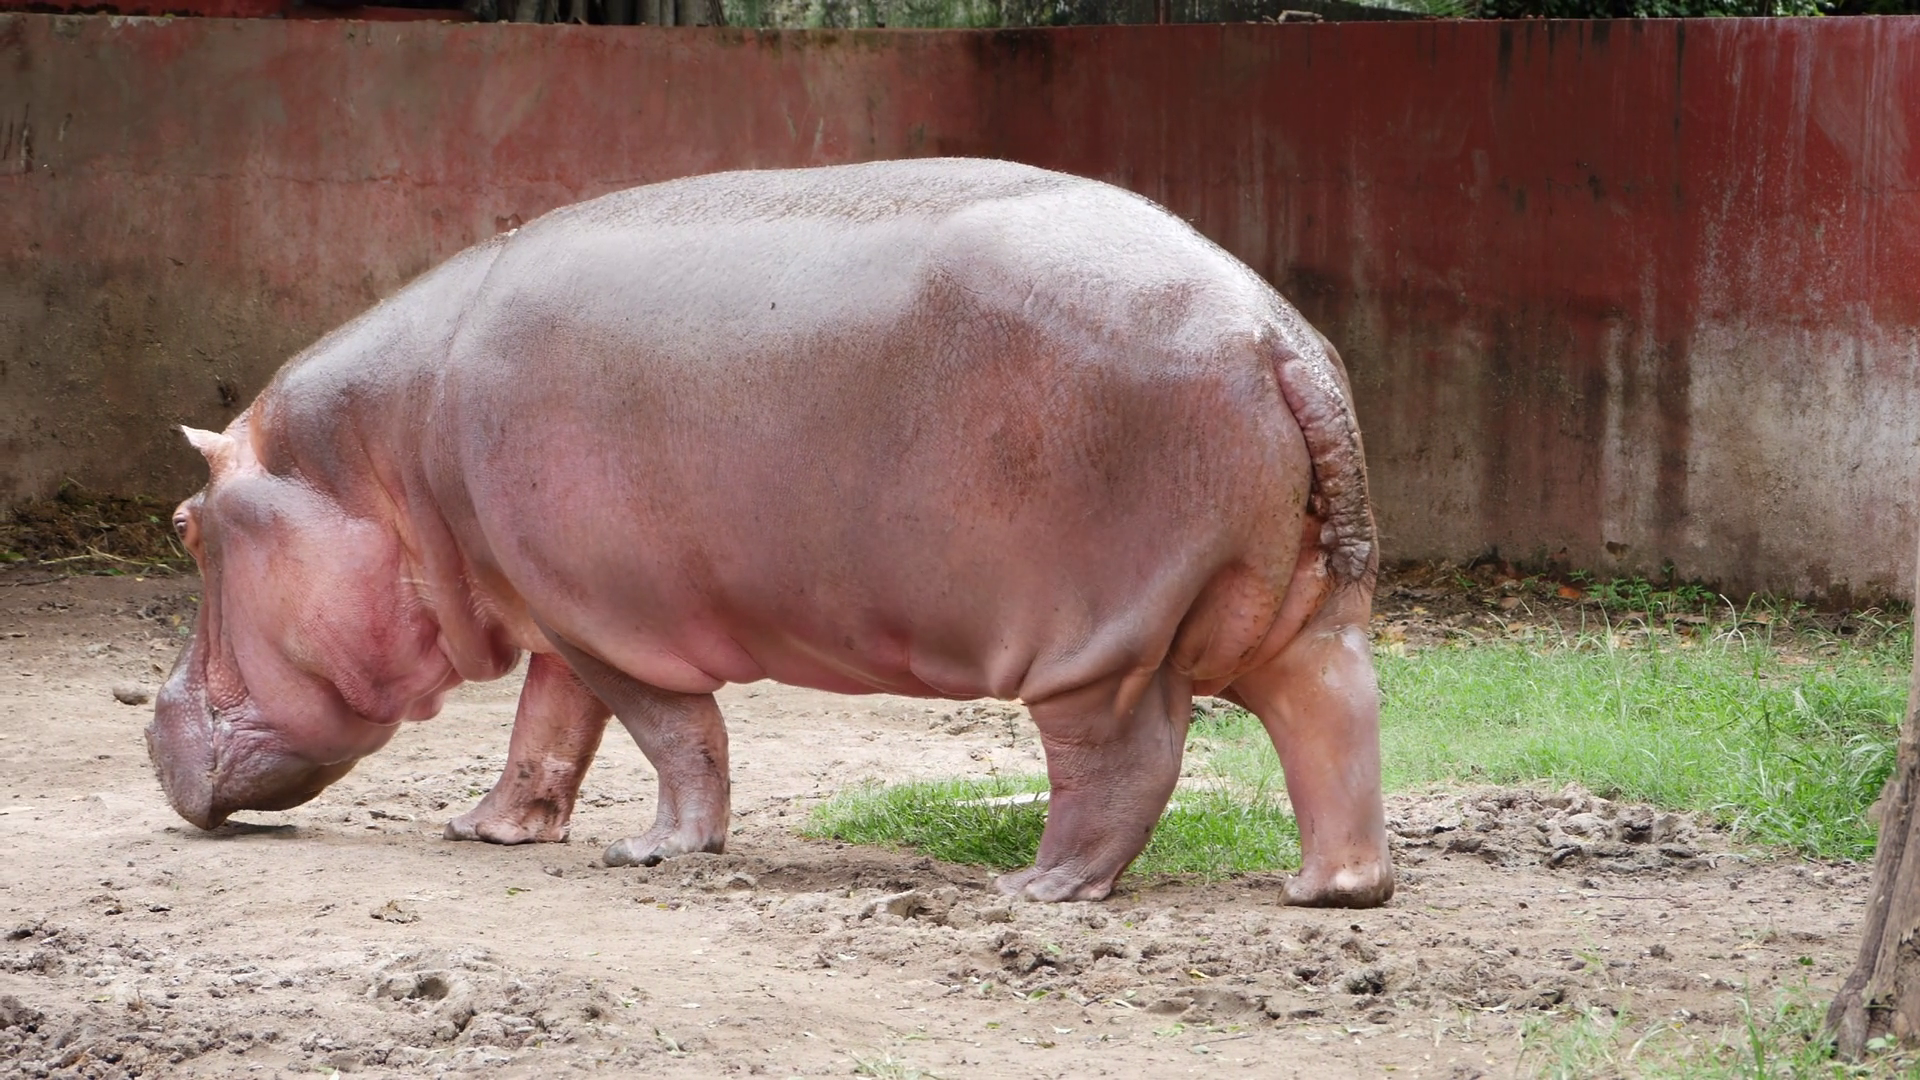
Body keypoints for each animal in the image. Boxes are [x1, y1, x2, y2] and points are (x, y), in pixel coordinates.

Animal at [147, 158, 1391, 907]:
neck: (378, 458)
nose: (153, 724)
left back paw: (1034, 892)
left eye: (185, 527)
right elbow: (547, 733)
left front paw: (650, 852)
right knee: (1333, 715)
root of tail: (1271, 330)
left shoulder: (613, 621)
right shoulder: (555, 602)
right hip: (1305, 612)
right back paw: (1331, 890)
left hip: (1098, 638)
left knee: (1124, 760)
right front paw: (486, 832)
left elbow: (673, 735)